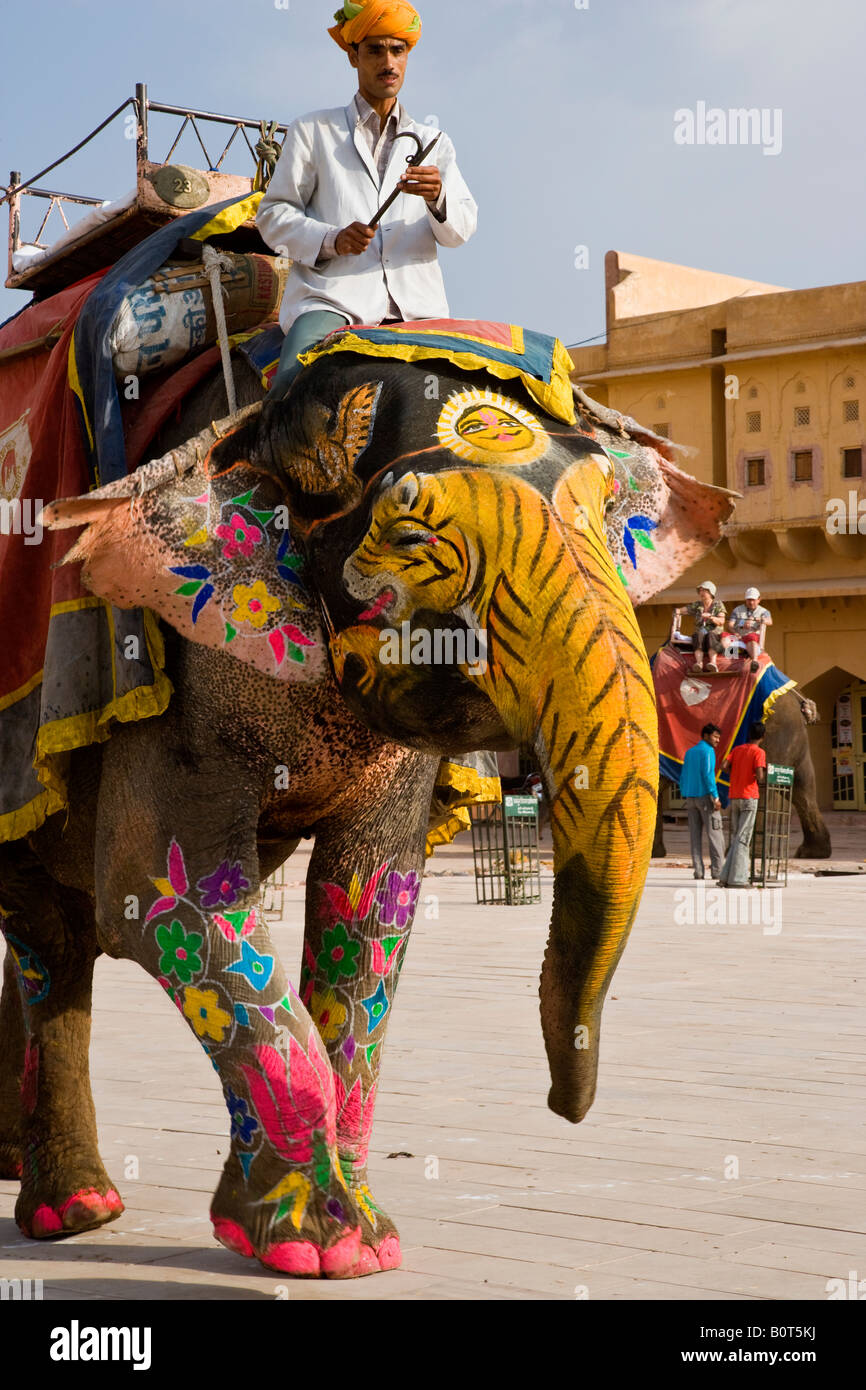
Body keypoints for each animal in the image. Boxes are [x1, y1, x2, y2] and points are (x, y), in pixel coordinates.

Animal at [0, 343, 730, 1280]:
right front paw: (319, 1245)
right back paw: (76, 1211)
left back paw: (39, 1183)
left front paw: (359, 1241)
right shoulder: (170, 661)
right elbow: (159, 896)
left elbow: (372, 903)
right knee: (54, 937)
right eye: (415, 541)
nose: (563, 1105)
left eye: (609, 516)